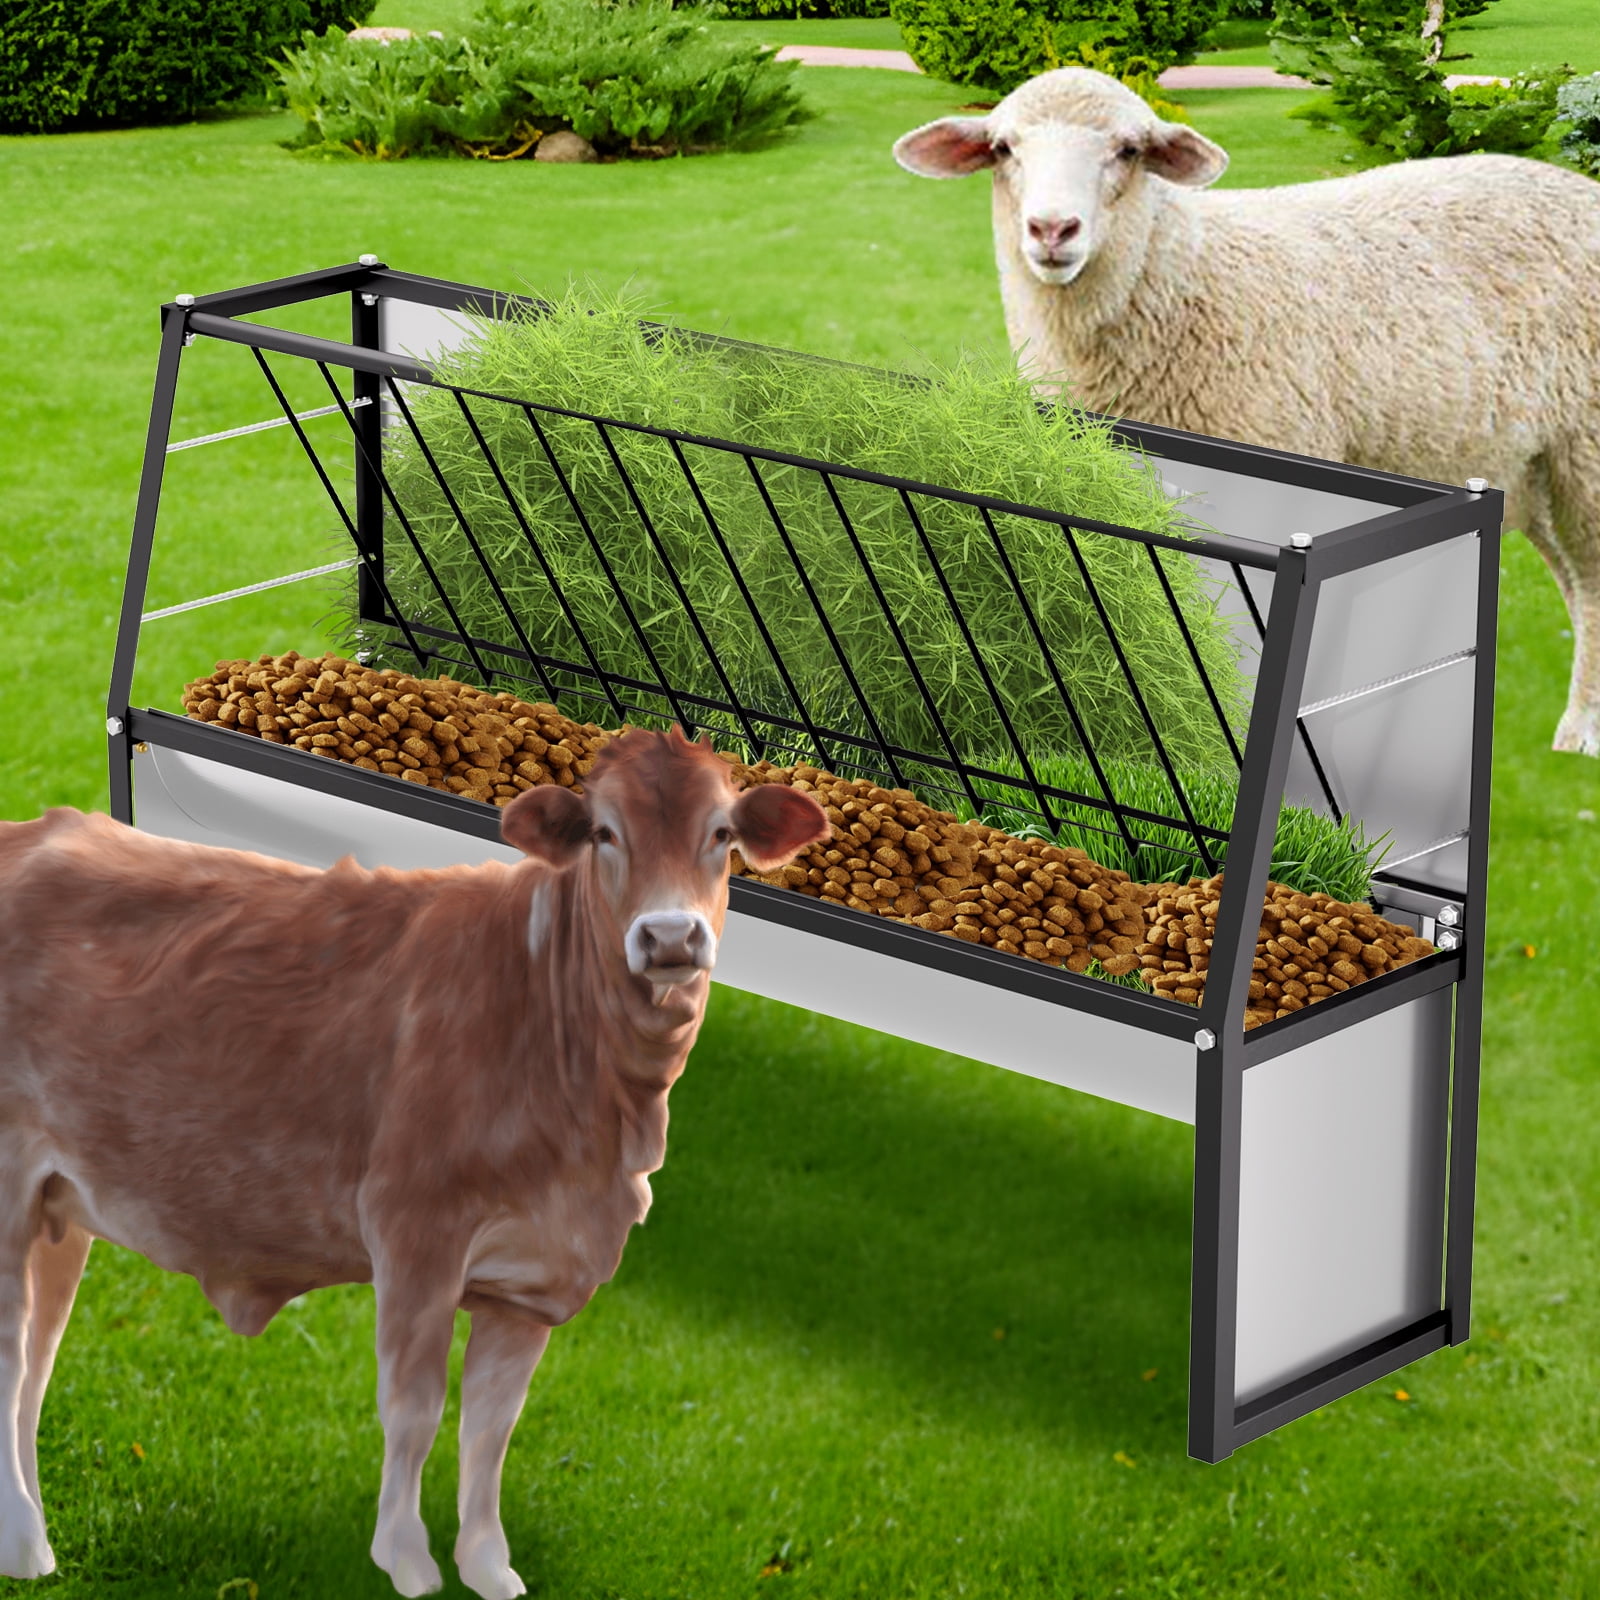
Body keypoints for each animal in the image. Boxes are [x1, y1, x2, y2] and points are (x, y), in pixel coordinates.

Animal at [0, 726, 829, 1598]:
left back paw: (30, 1544)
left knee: (35, 1367)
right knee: (14, 1355)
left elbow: (492, 1425)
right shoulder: (415, 1229)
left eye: (722, 834)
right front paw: (406, 1557)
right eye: (605, 833)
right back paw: (23, 1540)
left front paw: (489, 1563)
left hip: (62, 1208)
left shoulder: (533, 1277)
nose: (670, 937)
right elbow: (416, 1406)